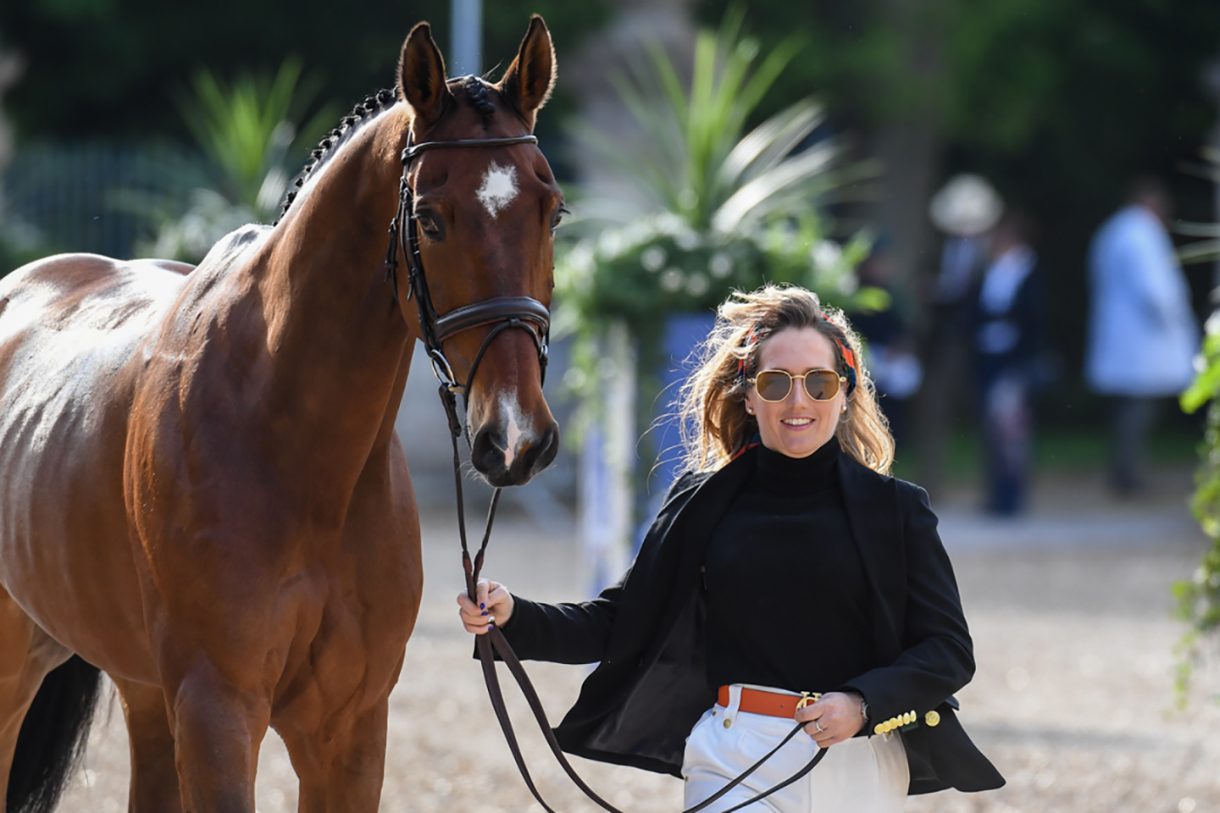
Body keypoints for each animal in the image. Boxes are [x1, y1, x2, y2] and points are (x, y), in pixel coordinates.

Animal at [0, 16, 562, 812]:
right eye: (430, 219)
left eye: (553, 209)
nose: (515, 437)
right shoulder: (218, 711)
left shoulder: (348, 729)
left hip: (145, 691)